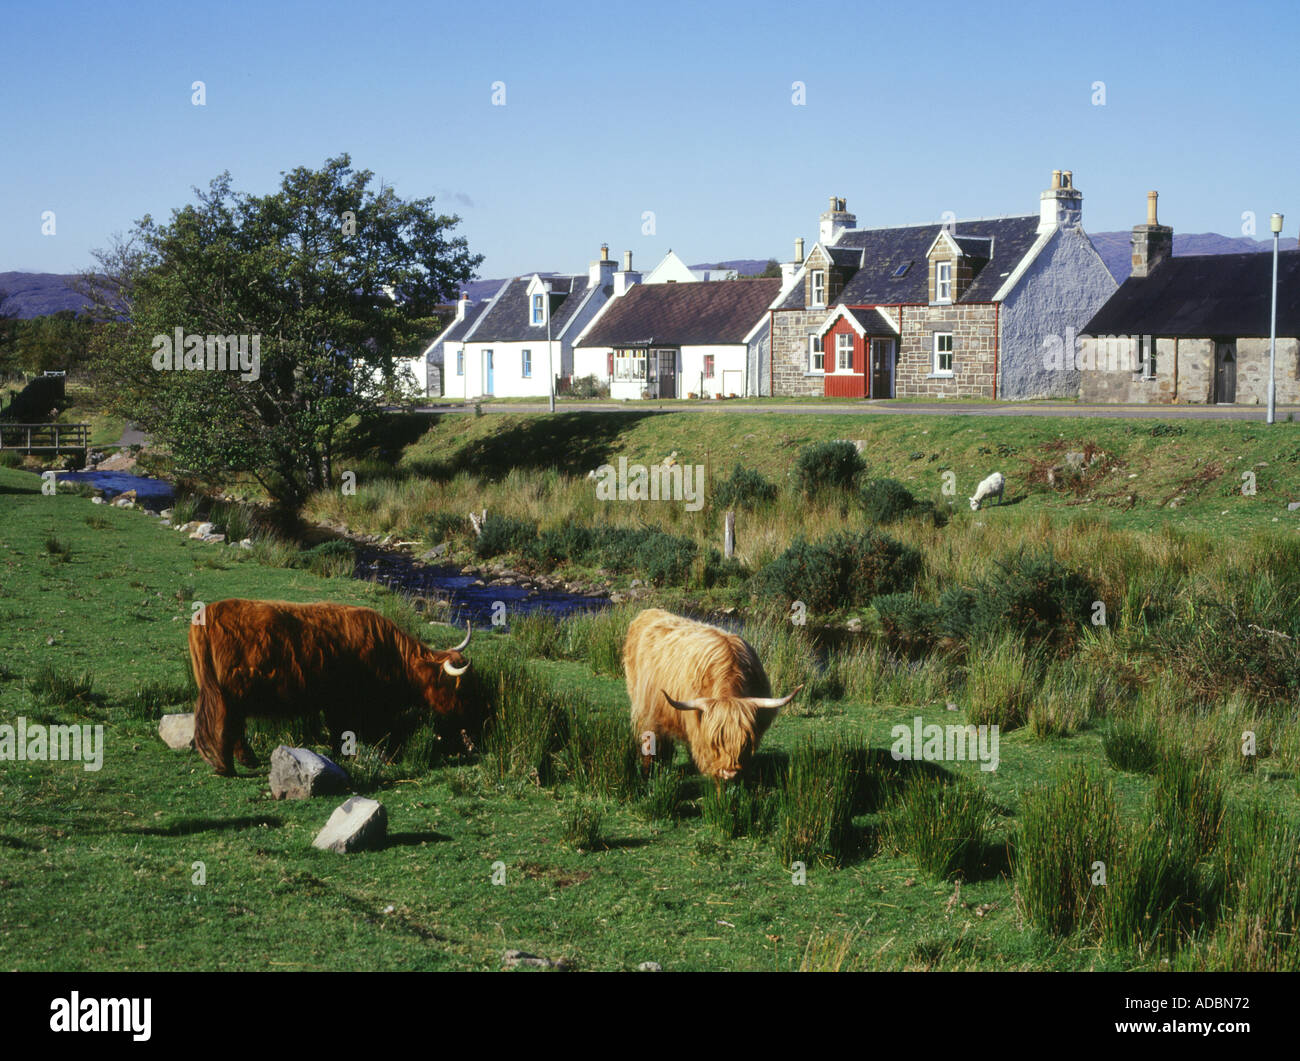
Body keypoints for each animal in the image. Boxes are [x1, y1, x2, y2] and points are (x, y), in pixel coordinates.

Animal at [189, 599, 476, 775]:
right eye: (459, 688)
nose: (472, 714)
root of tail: (208, 614)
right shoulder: (344, 704)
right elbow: (343, 732)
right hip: (229, 696)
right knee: (227, 727)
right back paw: (228, 766)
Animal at [623, 608, 800, 782]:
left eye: (745, 742)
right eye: (714, 742)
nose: (729, 773)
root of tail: (648, 612)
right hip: (644, 705)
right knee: (651, 738)